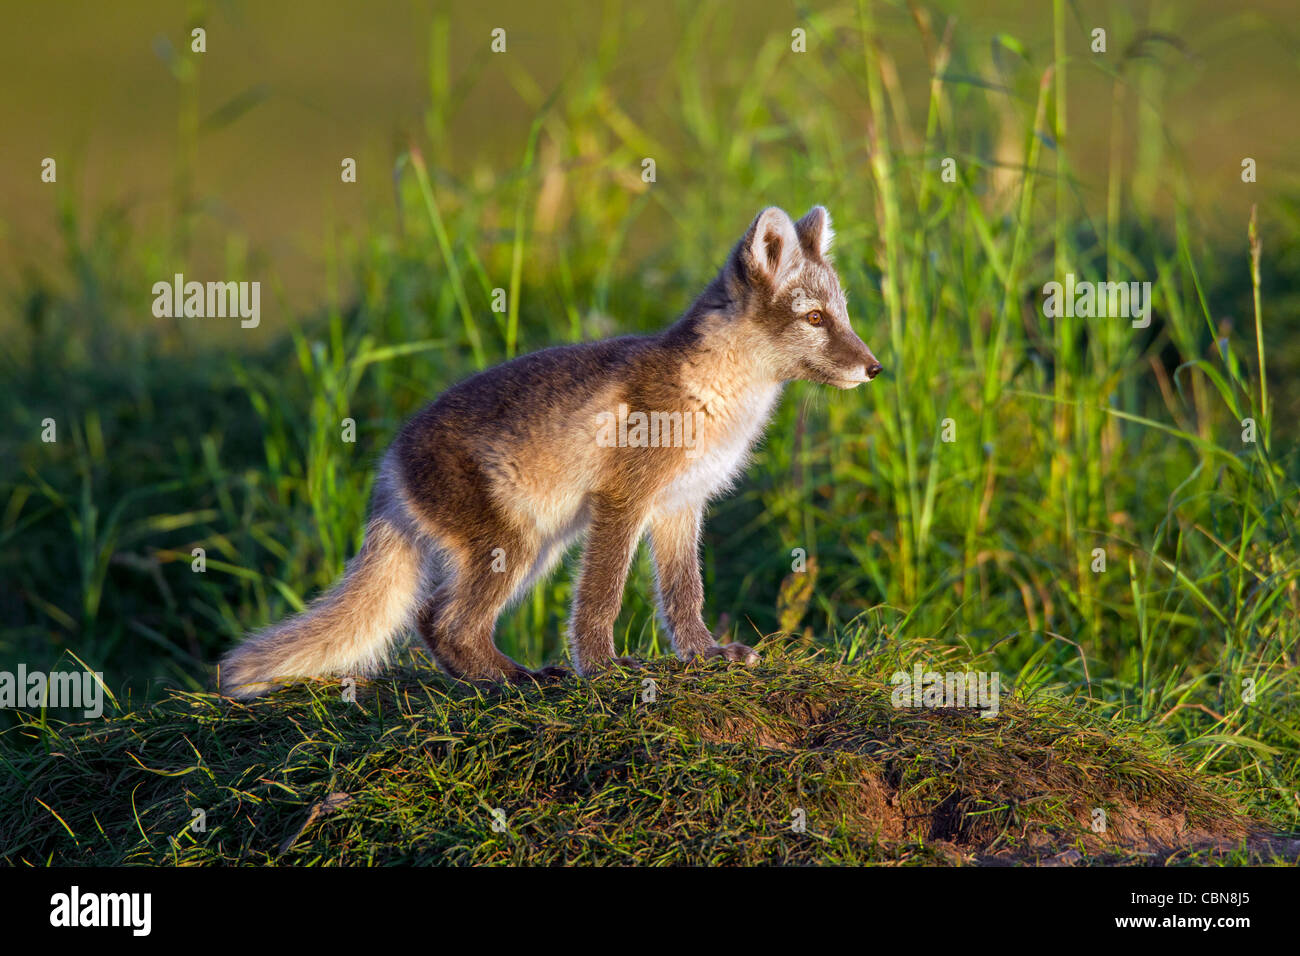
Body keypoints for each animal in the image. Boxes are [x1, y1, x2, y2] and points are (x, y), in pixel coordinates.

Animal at [219, 205, 882, 698]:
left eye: (844, 314)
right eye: (815, 319)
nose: (875, 368)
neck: (719, 396)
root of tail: (388, 465)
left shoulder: (680, 506)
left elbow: (683, 596)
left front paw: (705, 655)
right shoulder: (624, 499)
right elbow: (601, 596)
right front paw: (605, 669)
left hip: (536, 546)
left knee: (434, 619)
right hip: (512, 546)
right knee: (448, 622)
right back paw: (521, 680)